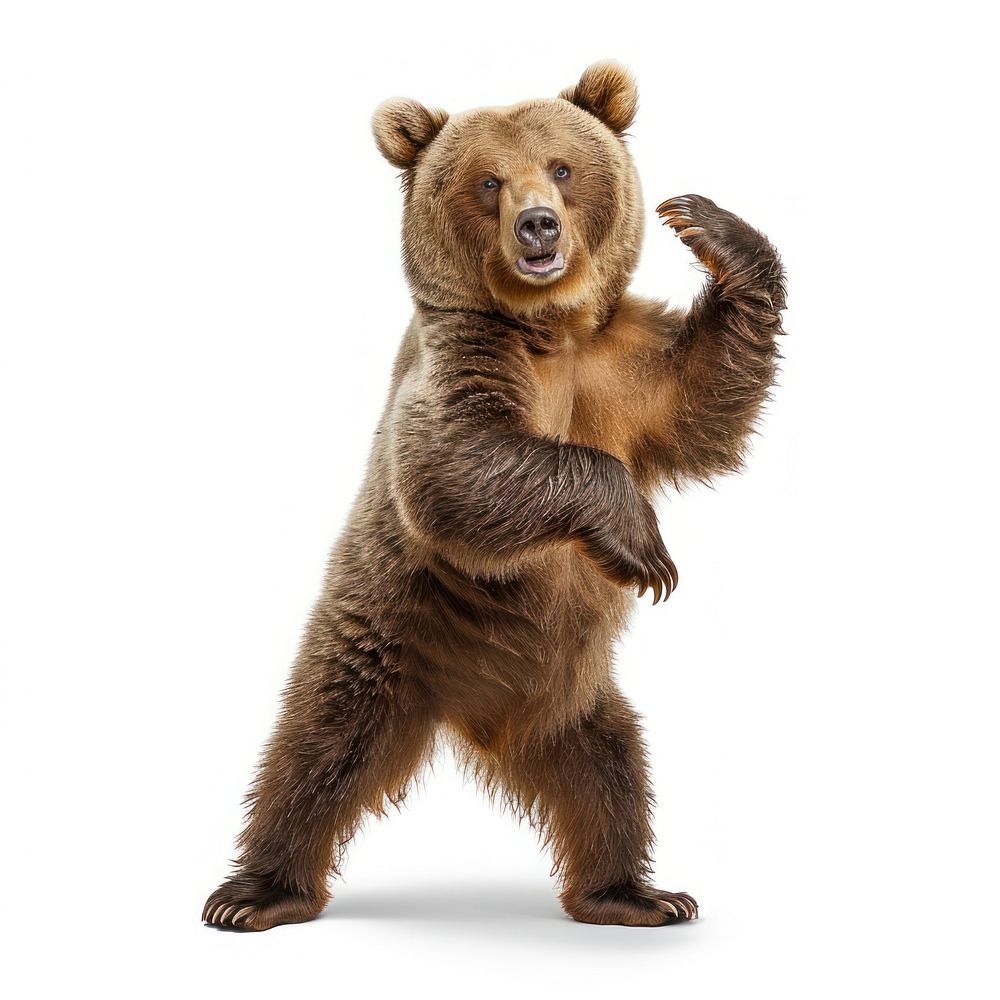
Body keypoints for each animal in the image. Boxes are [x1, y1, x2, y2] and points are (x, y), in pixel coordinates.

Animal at [203, 60, 785, 931]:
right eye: (488, 181)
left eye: (563, 168)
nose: (538, 226)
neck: (549, 330)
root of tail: (475, 718)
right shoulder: (461, 363)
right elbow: (455, 466)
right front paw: (645, 548)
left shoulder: (626, 370)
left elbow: (709, 396)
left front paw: (709, 225)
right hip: (390, 631)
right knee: (317, 747)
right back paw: (255, 893)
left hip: (576, 692)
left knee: (611, 771)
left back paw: (636, 893)